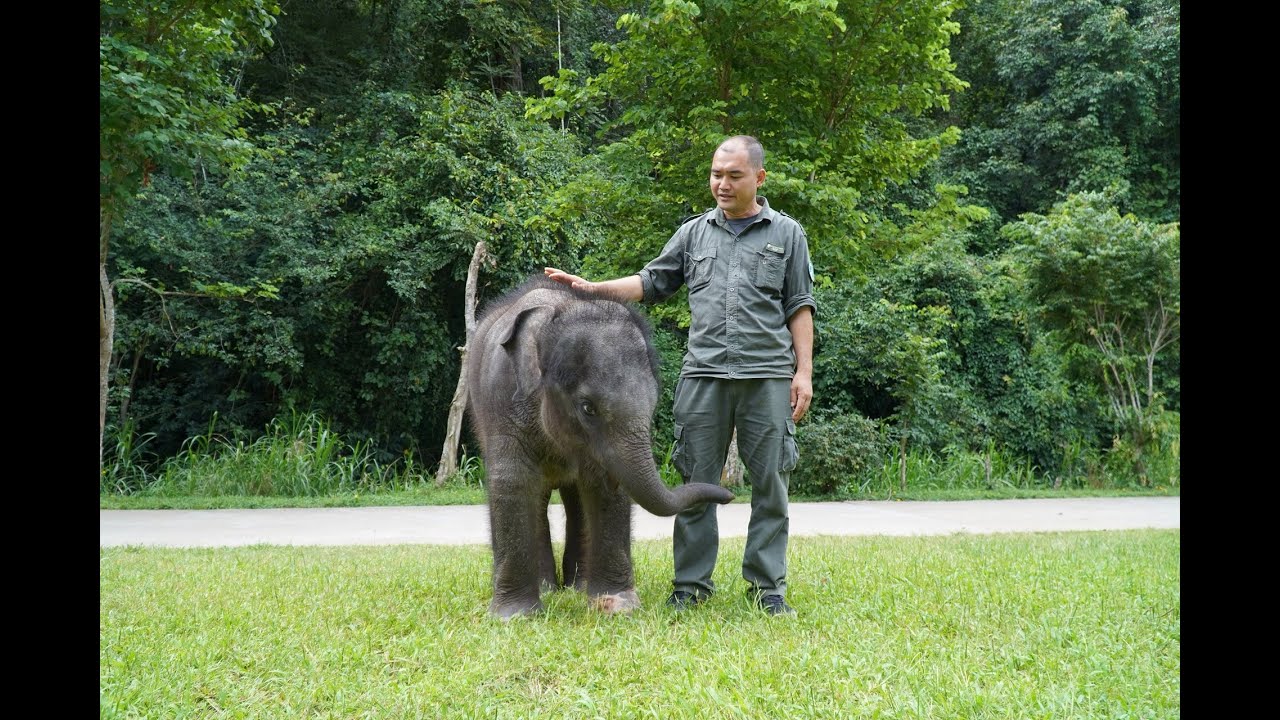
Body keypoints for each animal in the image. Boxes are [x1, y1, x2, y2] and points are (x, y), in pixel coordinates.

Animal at [466, 276, 735, 618]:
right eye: (587, 408)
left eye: (654, 404)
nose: (729, 496)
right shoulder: (501, 401)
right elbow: (512, 481)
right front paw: (515, 617)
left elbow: (602, 486)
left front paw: (616, 606)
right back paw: (549, 589)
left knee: (576, 498)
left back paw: (576, 587)